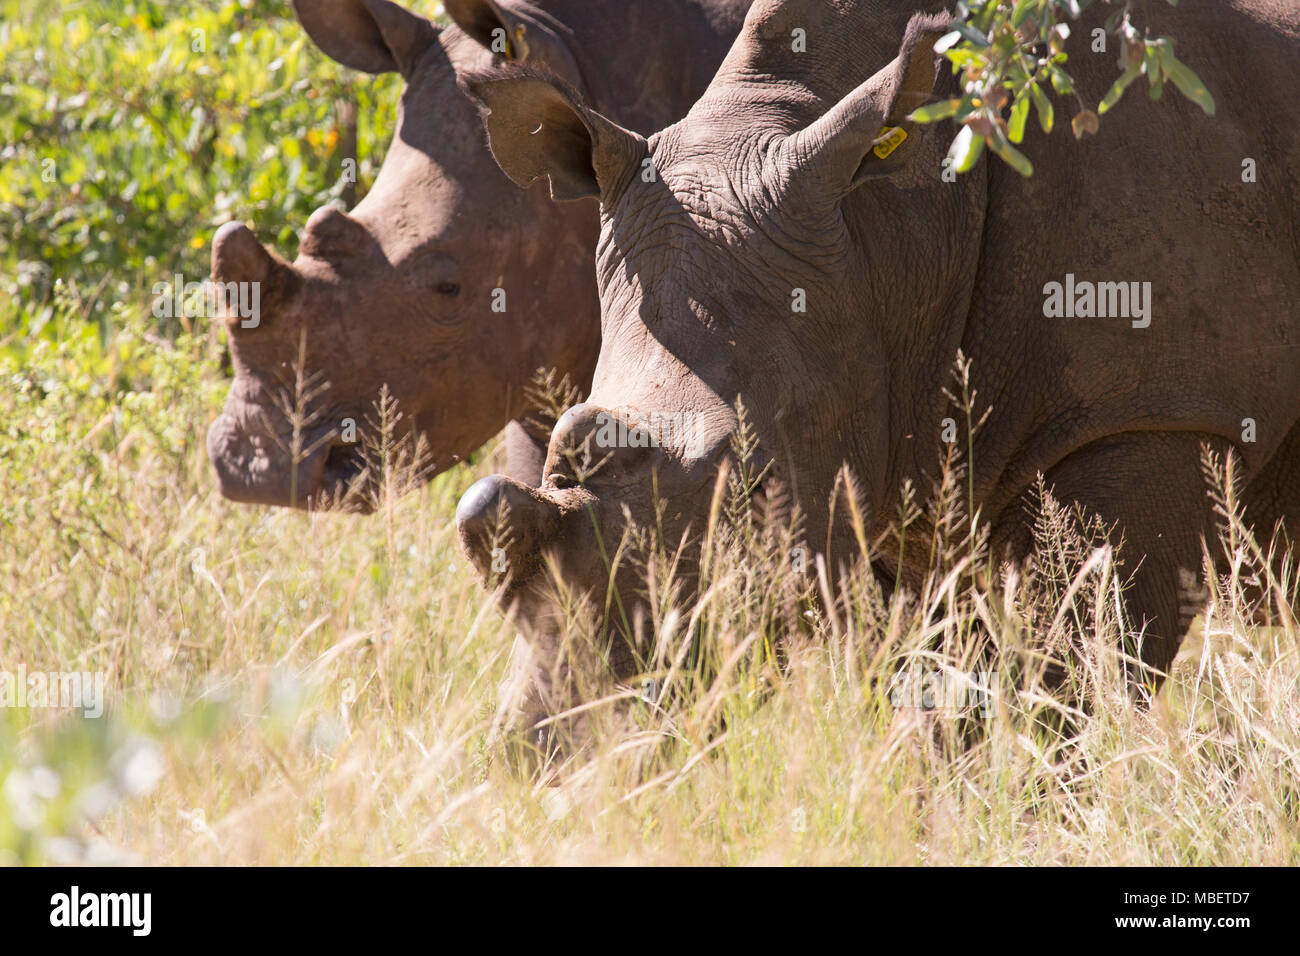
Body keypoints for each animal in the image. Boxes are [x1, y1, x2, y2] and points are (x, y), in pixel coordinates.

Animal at [456, 0, 1300, 718]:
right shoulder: (901, 465)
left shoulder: (1155, 414)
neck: (894, 233)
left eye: (756, 486)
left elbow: (1070, 684)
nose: (561, 740)